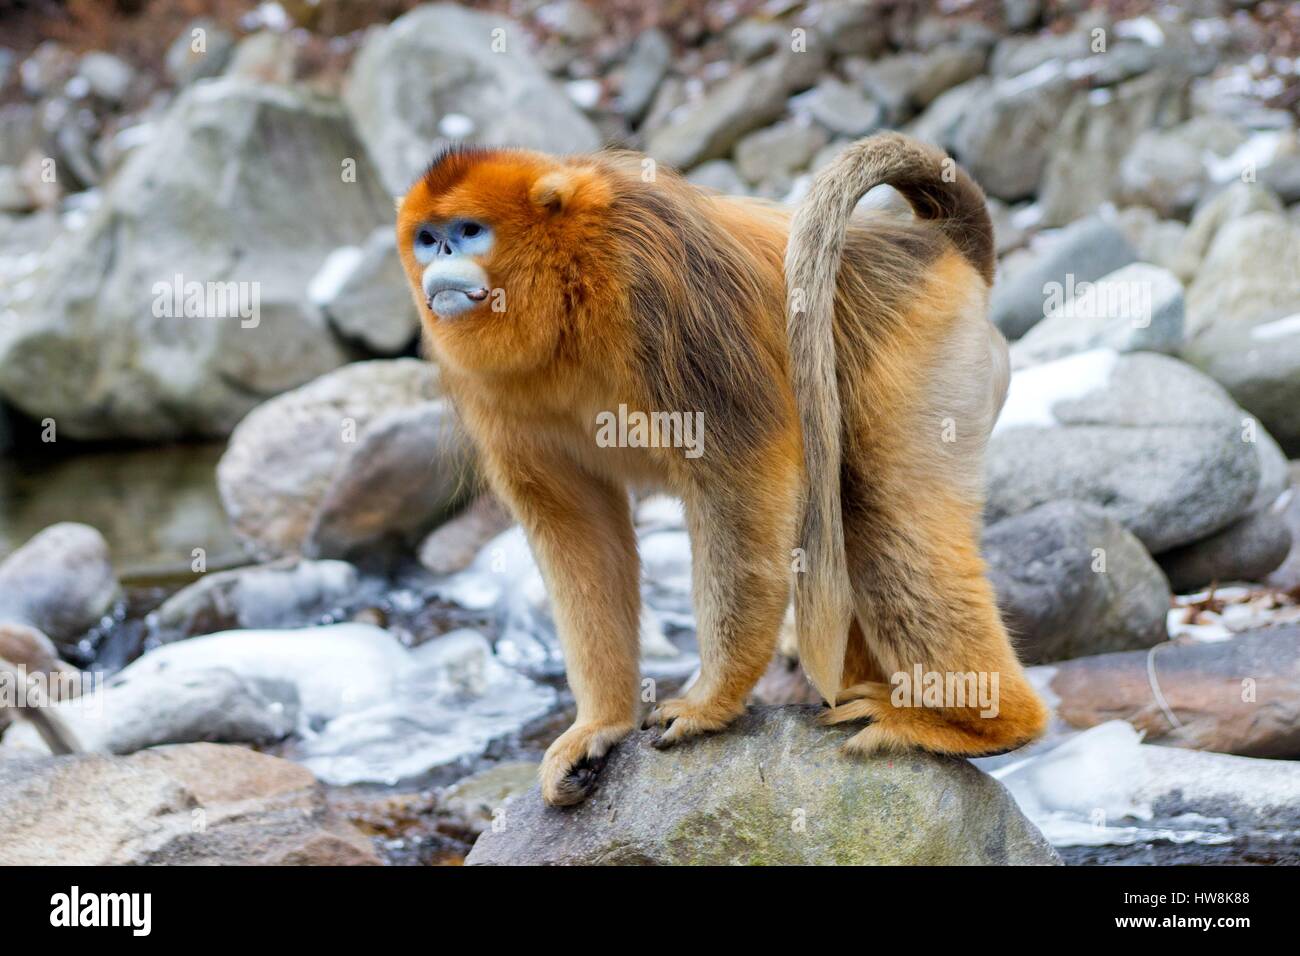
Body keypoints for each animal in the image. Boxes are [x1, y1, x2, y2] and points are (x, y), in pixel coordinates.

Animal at [396, 131, 1049, 807]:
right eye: (428, 237)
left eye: (469, 231)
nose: (442, 255)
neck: (569, 284)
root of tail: (938, 245)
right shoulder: (490, 391)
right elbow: (577, 526)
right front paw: (600, 723)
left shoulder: (651, 278)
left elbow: (745, 469)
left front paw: (709, 704)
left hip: (925, 344)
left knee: (881, 510)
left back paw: (984, 726)